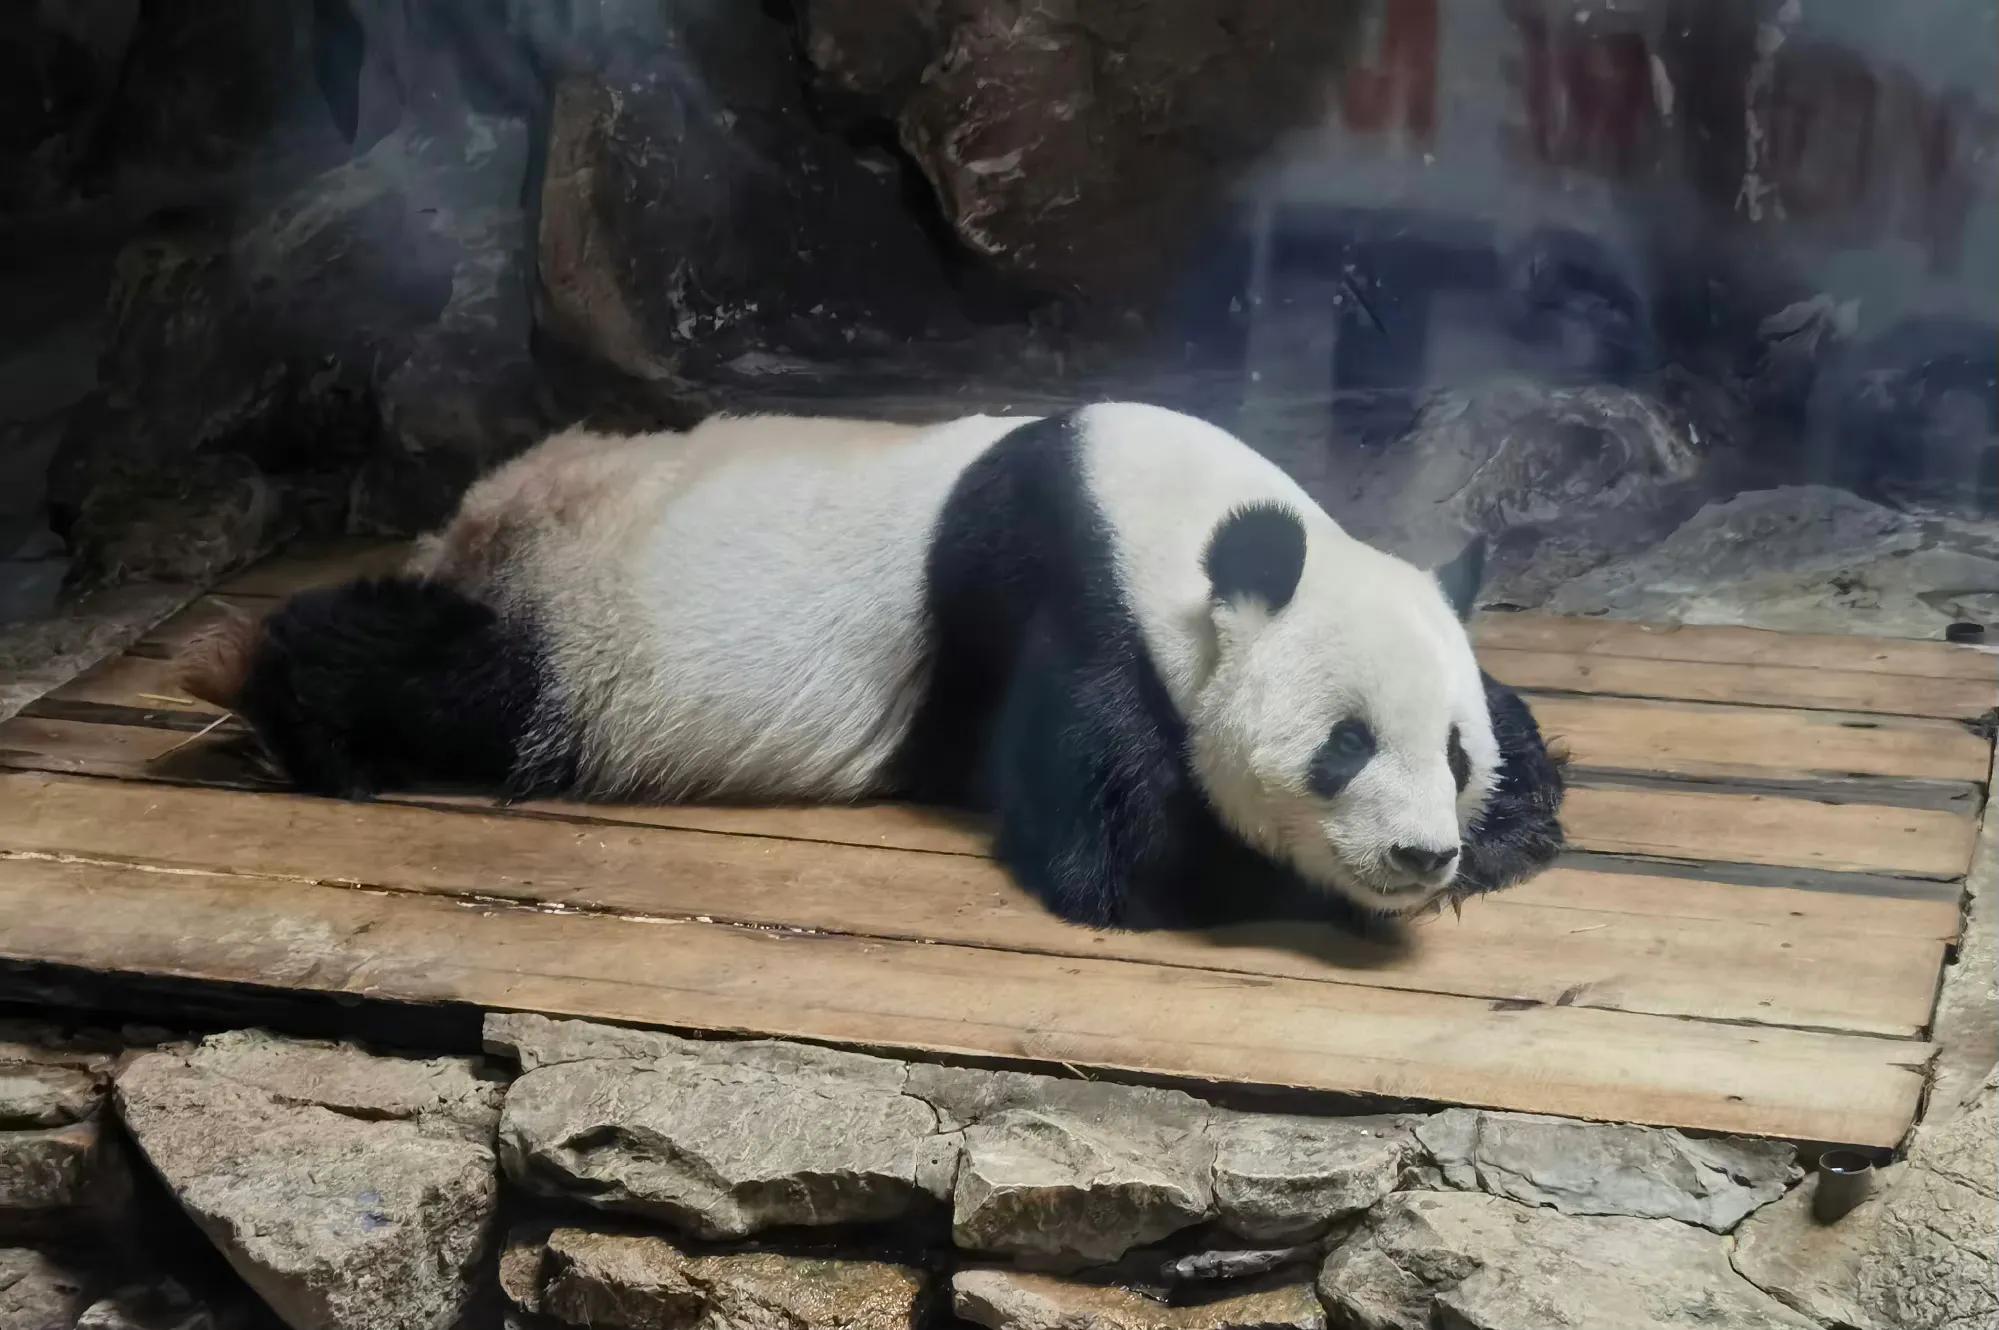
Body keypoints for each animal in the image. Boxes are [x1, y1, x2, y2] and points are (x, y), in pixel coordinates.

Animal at [180, 403, 1565, 930]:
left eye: (1451, 753)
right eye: (1342, 745)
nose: (1420, 855)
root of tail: (483, 511)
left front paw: (1523, 814)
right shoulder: (1054, 587)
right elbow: (1113, 848)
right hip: (581, 625)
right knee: (463, 678)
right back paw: (290, 712)